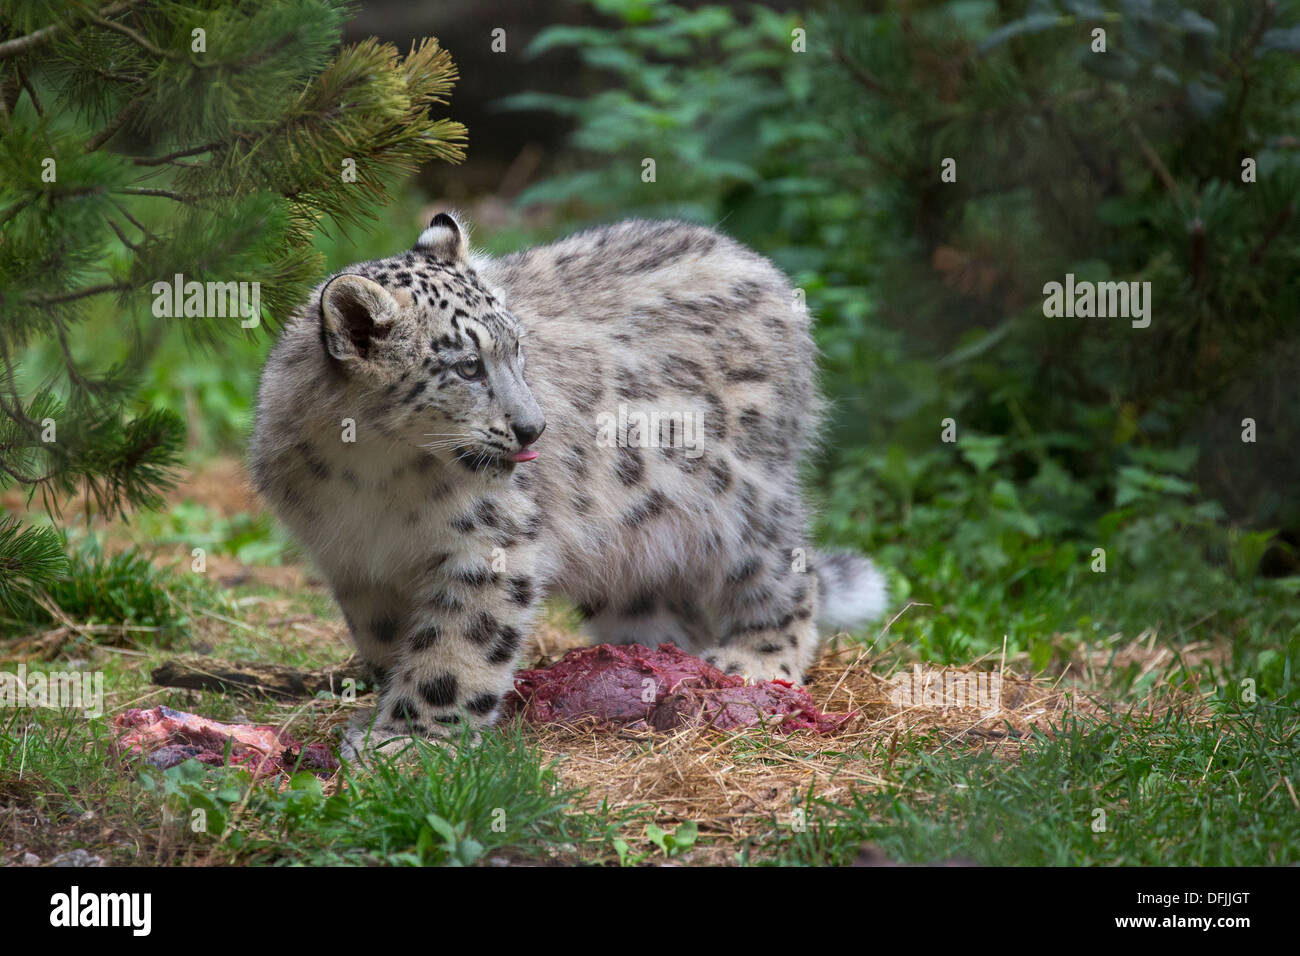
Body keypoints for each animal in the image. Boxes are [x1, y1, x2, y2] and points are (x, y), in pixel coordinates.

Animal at [249, 213, 887, 754]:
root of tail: (762, 267)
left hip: (741, 497)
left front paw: (413, 739)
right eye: (467, 366)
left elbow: (455, 650)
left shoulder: (490, 546)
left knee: (785, 573)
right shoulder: (356, 562)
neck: (375, 478)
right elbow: (391, 639)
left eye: (518, 351)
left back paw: (753, 661)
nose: (533, 426)